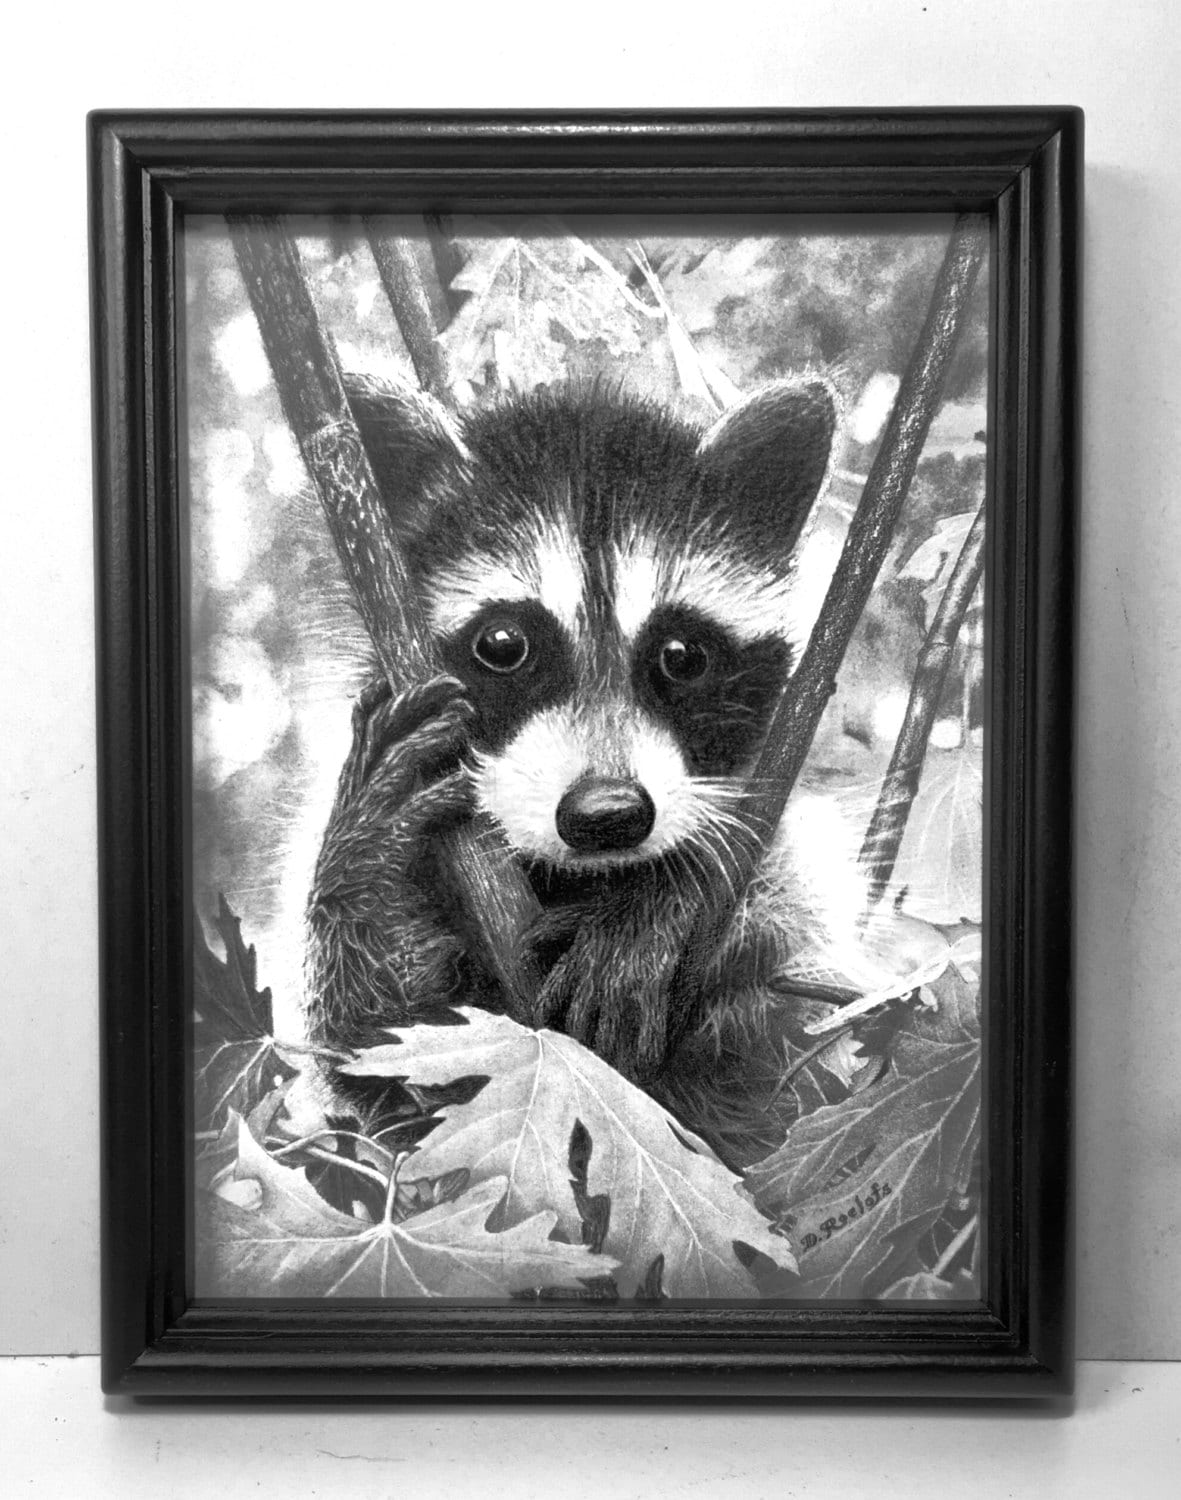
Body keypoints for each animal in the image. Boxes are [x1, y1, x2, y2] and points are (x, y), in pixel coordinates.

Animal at [304, 374, 870, 1155]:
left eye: (682, 655)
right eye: (503, 645)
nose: (609, 815)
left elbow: (801, 972)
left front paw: (669, 888)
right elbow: (378, 1054)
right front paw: (368, 864)